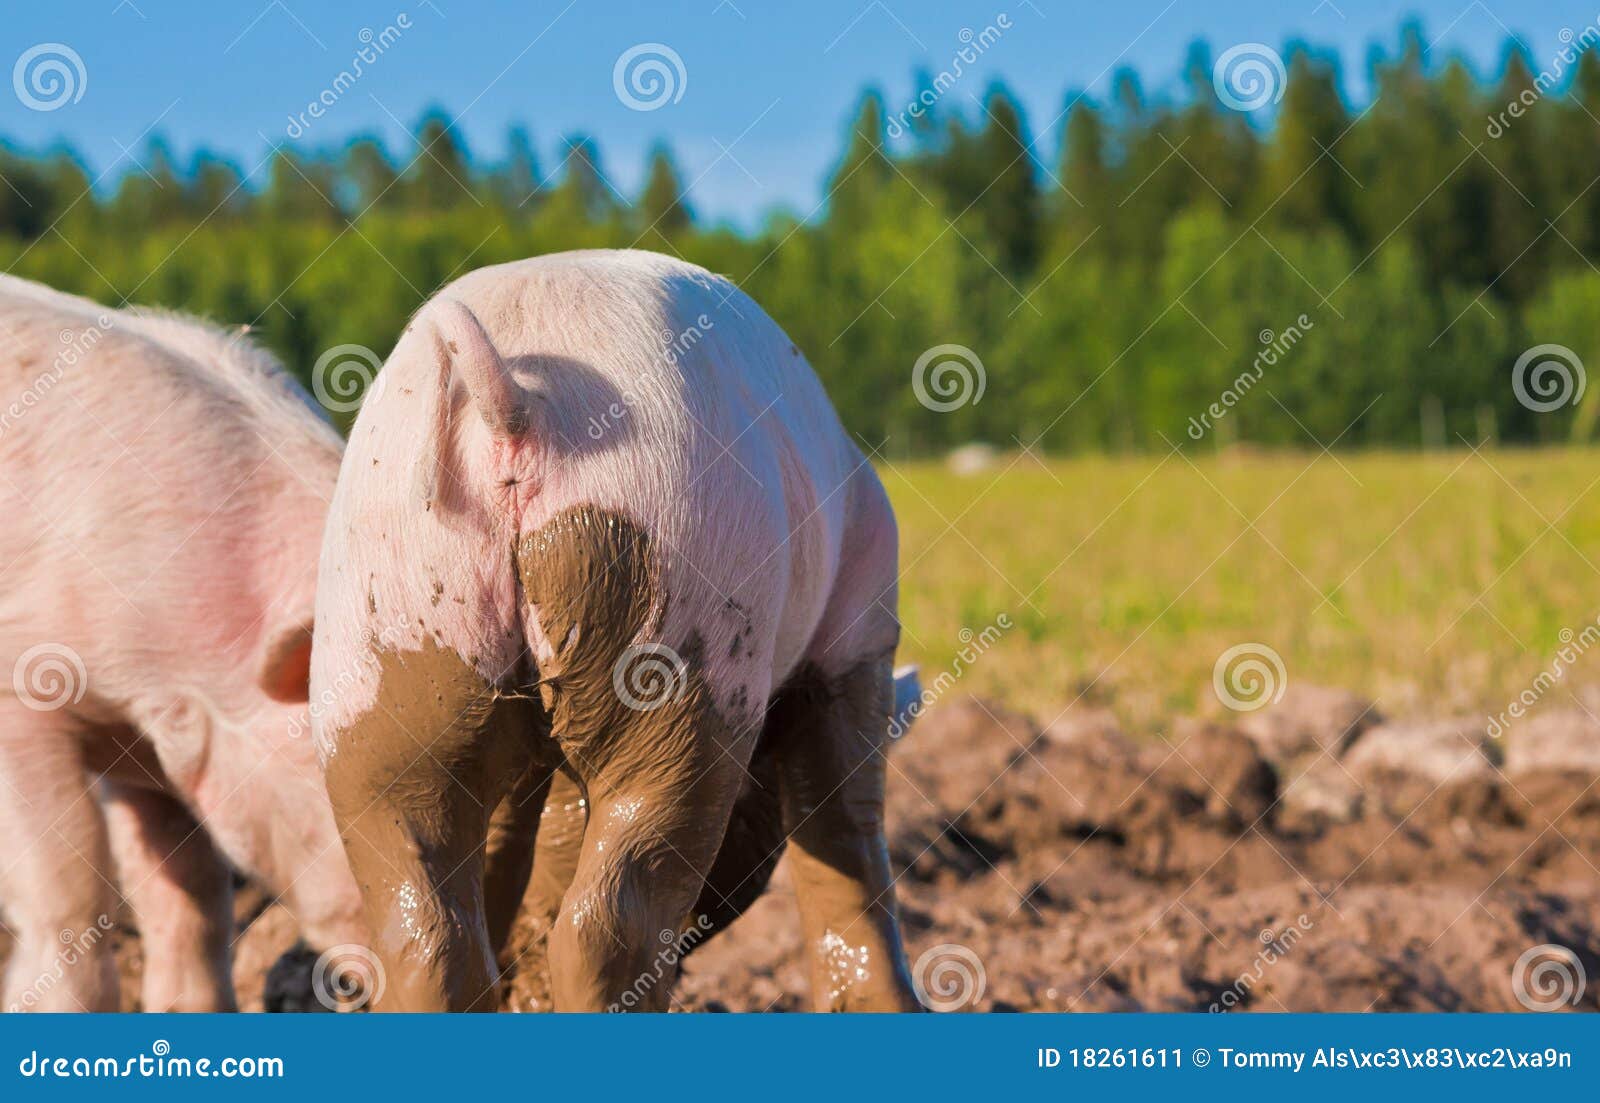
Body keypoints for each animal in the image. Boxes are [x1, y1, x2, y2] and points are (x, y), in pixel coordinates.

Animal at [313, 249, 921, 1011]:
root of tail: (516, 409)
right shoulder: (860, 631)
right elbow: (845, 825)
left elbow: (511, 844)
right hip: (676, 628)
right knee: (611, 913)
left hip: (379, 653)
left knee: (422, 919)